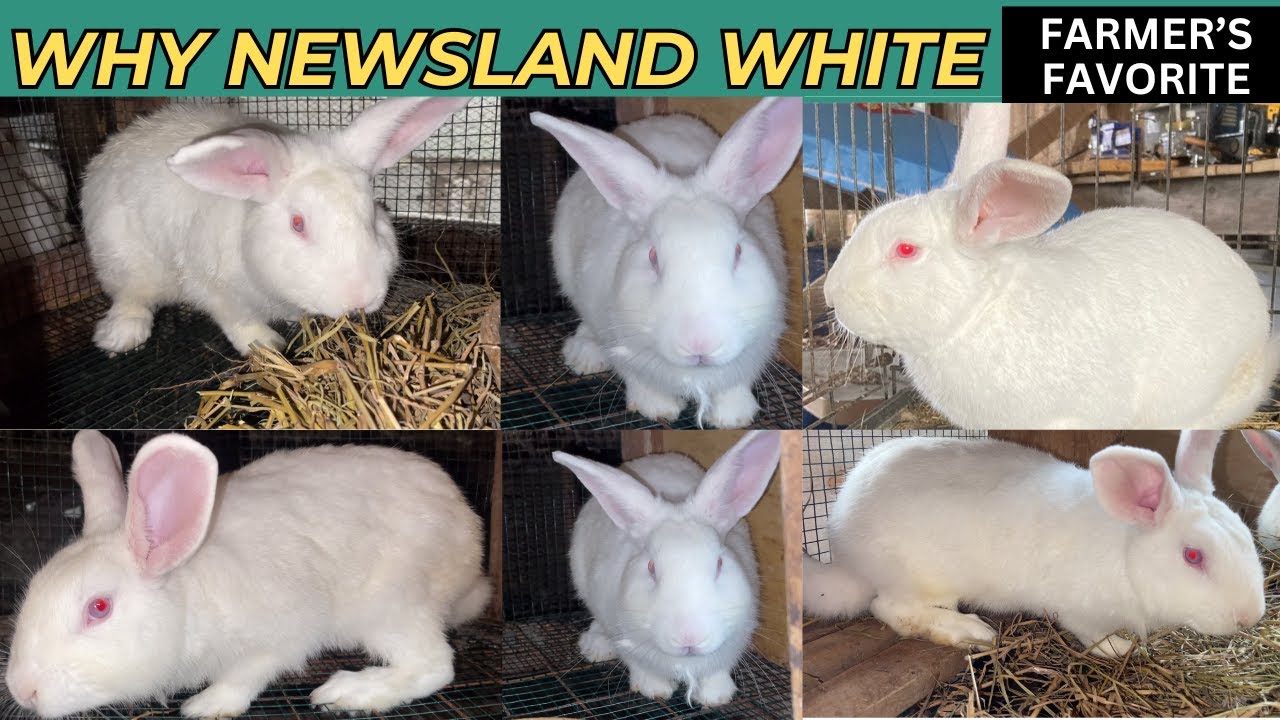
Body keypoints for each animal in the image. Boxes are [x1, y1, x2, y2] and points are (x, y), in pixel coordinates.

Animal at [4, 430, 491, 719]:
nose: (21, 691)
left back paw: (348, 693)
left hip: (390, 606)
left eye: (99, 608)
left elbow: (246, 676)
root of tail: (470, 540)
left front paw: (205, 706)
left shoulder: (280, 637)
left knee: (434, 665)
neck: (189, 591)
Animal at [80, 97, 473, 356]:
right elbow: (237, 318)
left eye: (373, 214)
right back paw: (122, 334)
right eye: (298, 224)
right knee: (131, 296)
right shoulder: (210, 284)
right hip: (121, 256)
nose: (360, 299)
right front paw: (265, 345)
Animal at [529, 98, 801, 428]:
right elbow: (639, 380)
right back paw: (583, 356)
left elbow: (735, 386)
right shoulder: (619, 342)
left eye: (737, 251)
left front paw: (734, 418)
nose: (700, 345)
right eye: (652, 257)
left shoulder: (759, 346)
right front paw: (657, 409)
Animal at [552, 430, 781, 706]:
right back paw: (595, 647)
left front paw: (717, 697)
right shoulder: (623, 636)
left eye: (719, 563)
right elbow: (640, 666)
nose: (689, 638)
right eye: (651, 568)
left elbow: (717, 672)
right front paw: (654, 689)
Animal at [803, 430, 1265, 658]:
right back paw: (970, 632)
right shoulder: (1078, 611)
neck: (1126, 553)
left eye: (1246, 536)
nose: (1250, 618)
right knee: (888, 608)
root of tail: (843, 548)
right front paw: (1123, 648)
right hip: (922, 578)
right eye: (1193, 556)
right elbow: (1095, 638)